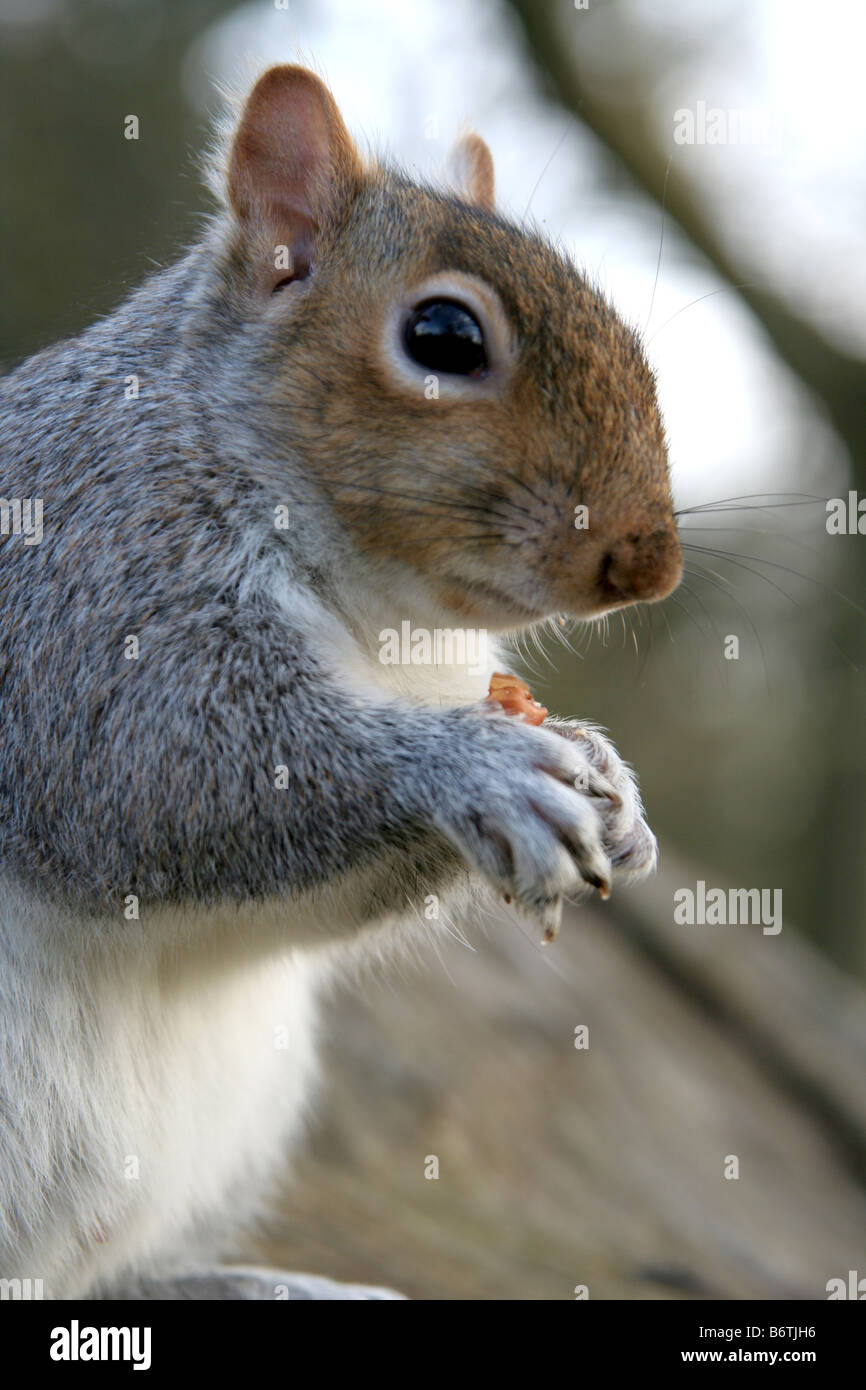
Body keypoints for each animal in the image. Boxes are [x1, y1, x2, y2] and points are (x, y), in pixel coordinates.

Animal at [0, 65, 681, 1300]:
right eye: (443, 335)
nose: (649, 565)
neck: (385, 620)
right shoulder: (84, 588)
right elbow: (144, 774)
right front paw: (480, 767)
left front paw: (614, 788)